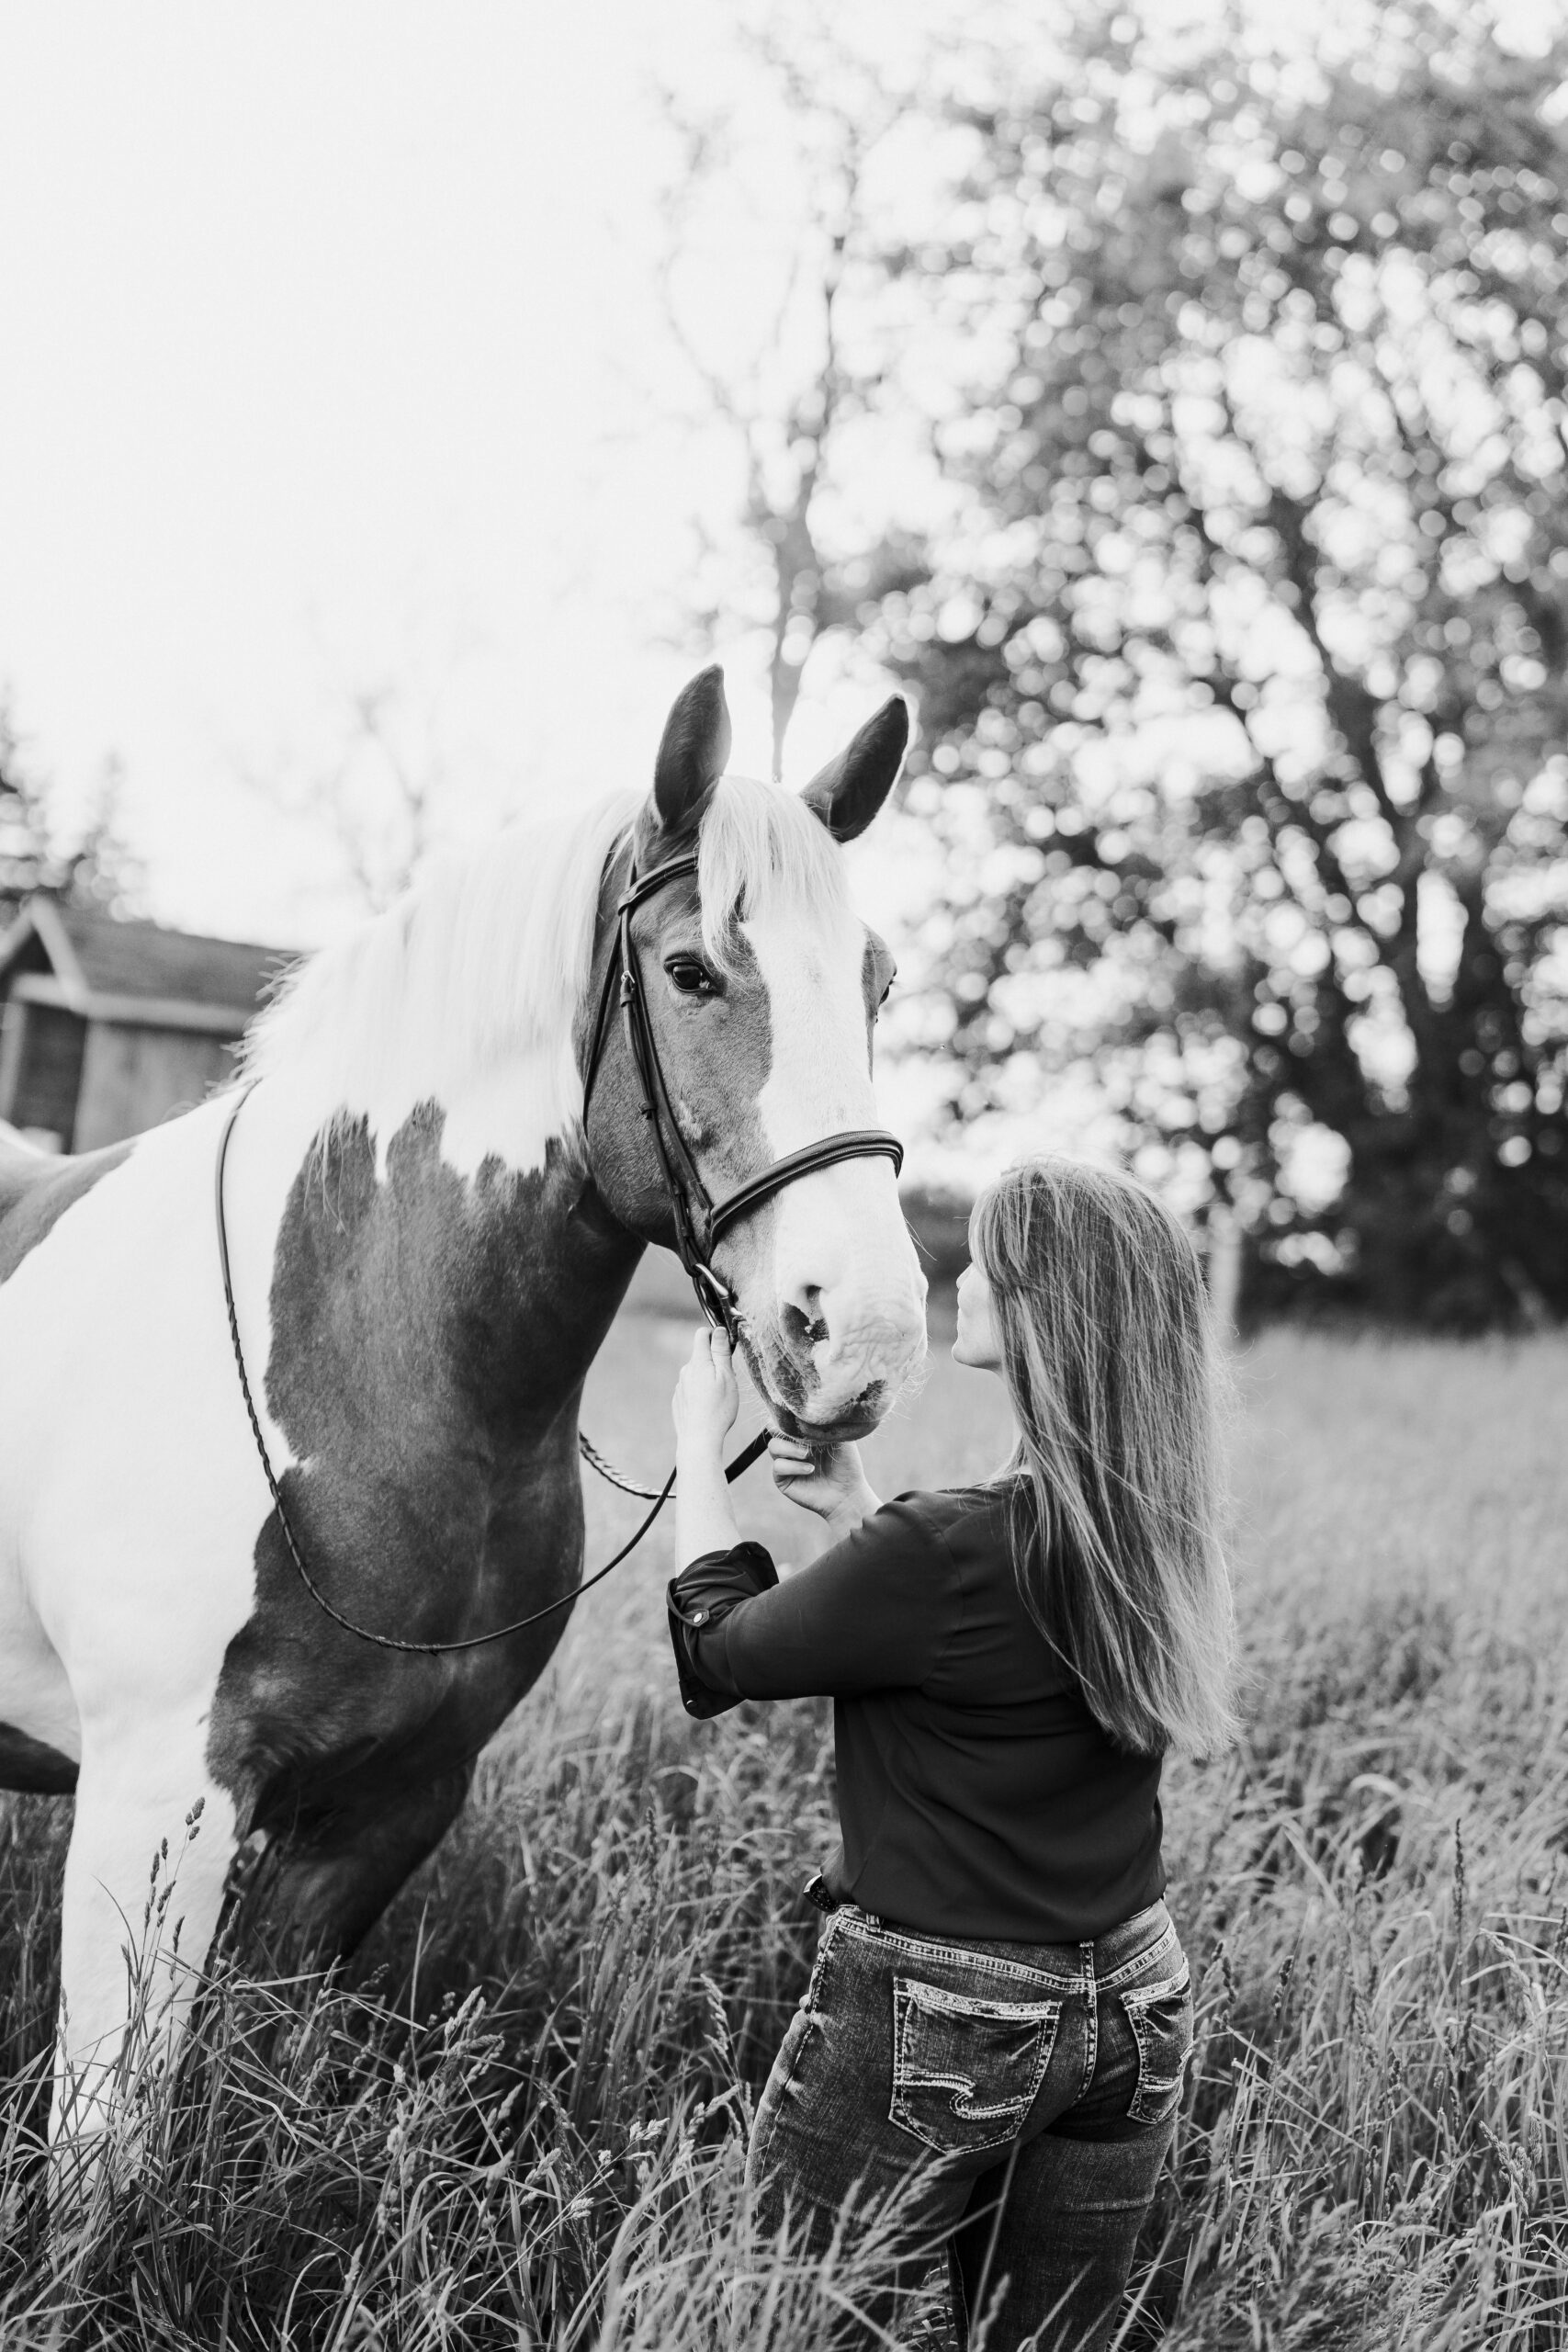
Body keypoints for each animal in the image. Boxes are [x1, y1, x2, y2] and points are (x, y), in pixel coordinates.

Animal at [0, 666, 927, 2157]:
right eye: (690, 971)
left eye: (876, 982)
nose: (867, 1340)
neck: (353, 1366)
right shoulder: (152, 1812)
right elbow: (112, 2150)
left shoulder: (386, 1810)